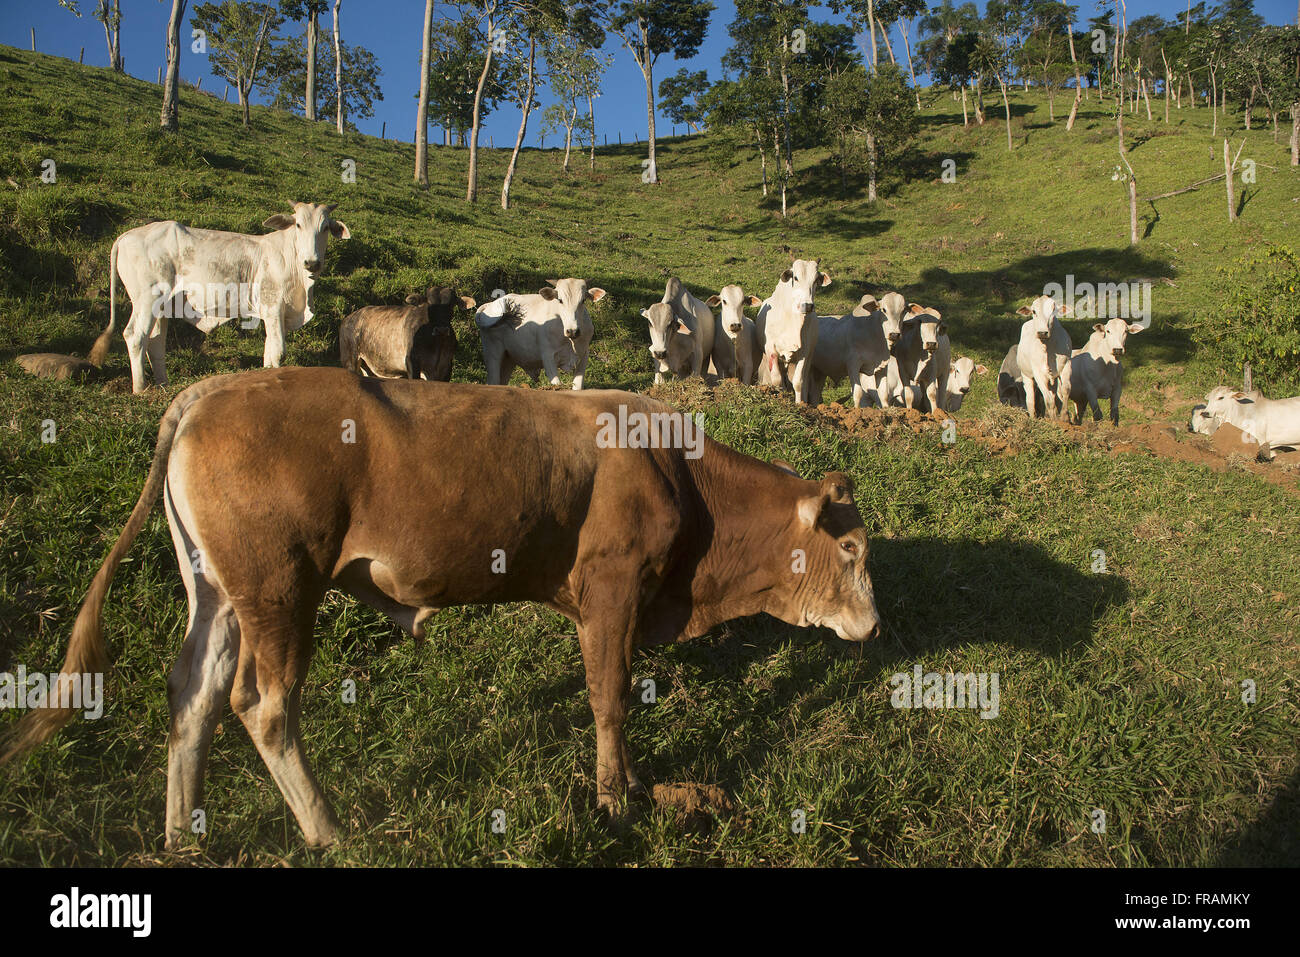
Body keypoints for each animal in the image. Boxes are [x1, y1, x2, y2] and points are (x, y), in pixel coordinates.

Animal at [0, 367, 883, 848]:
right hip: (280, 587)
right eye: (850, 549)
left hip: (218, 592)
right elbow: (609, 699)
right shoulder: (612, 589)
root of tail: (212, 390)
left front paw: (631, 787)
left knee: (194, 694)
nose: (874, 625)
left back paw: (181, 835)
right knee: (263, 704)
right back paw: (328, 829)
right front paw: (613, 802)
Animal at [90, 202, 351, 394]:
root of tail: (125, 236)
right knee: (135, 335)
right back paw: (140, 389)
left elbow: (268, 352)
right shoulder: (273, 307)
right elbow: (278, 351)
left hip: (161, 307)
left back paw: (163, 385)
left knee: (155, 342)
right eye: (298, 224)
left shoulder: (273, 313)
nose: (312, 262)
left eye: (325, 228)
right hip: (147, 299)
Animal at [339, 287, 476, 381]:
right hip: (350, 361)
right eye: (430, 304)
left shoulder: (446, 366)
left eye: (452, 305)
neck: (437, 343)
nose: (441, 329)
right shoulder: (412, 363)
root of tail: (347, 319)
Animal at [476, 278, 605, 389]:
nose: (572, 331)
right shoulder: (548, 356)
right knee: (493, 380)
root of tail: (488, 305)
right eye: (560, 300)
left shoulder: (583, 355)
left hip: (509, 359)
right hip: (493, 354)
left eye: (583, 300)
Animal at [755, 260, 832, 404]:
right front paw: (780, 399)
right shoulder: (771, 349)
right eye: (795, 278)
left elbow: (798, 382)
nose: (807, 305)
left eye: (816, 280)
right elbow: (777, 380)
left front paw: (799, 404)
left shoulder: (804, 353)